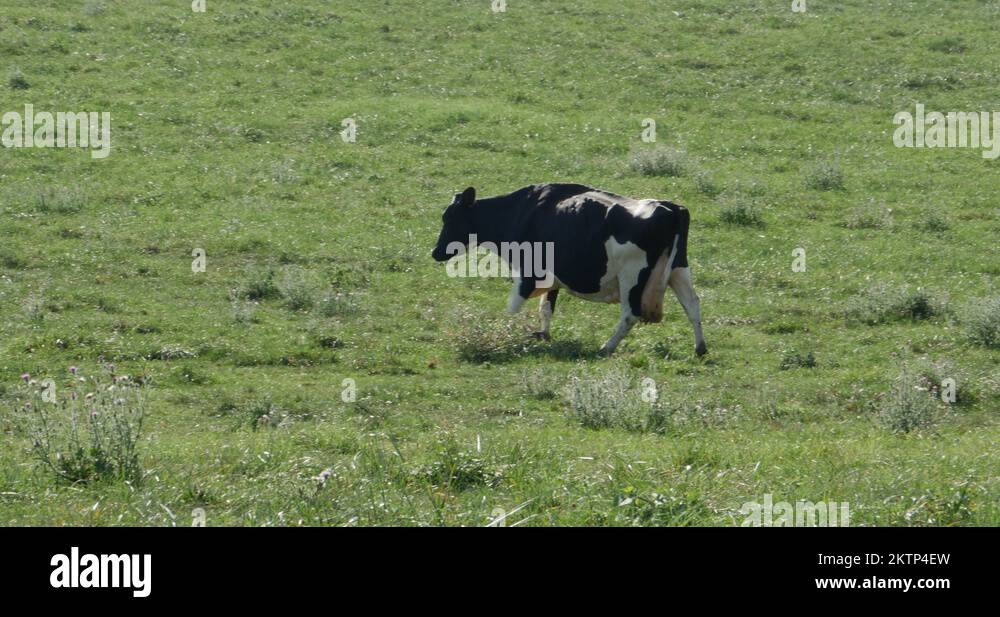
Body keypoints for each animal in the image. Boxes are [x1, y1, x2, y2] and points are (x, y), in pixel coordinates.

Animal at [431, 183, 707, 357]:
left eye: (450, 218)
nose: (436, 252)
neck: (523, 212)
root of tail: (672, 209)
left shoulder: (529, 275)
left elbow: (513, 308)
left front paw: (500, 331)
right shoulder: (550, 277)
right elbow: (546, 307)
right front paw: (542, 334)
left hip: (632, 275)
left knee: (630, 314)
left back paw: (606, 347)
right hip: (678, 270)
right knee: (692, 304)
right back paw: (700, 348)